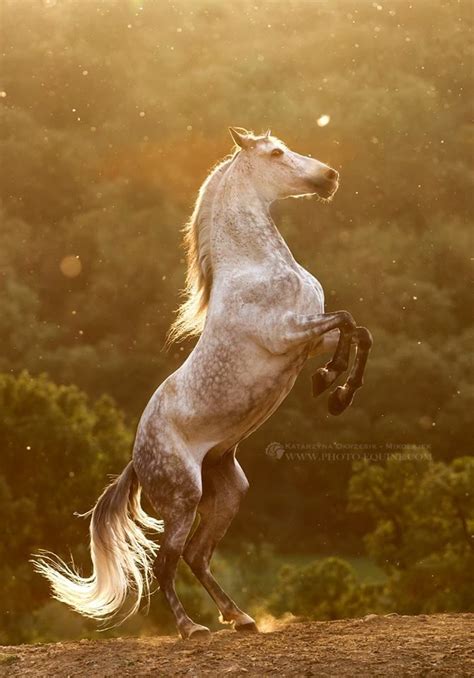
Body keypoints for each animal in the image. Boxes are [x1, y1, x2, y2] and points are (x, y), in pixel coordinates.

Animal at [33, 127, 372, 639]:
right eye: (277, 153)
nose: (330, 176)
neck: (257, 266)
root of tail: (136, 460)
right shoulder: (288, 334)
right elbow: (348, 320)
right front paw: (329, 385)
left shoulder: (310, 336)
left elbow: (358, 332)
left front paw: (335, 393)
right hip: (183, 498)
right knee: (167, 562)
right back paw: (191, 627)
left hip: (229, 489)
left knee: (196, 556)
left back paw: (241, 618)